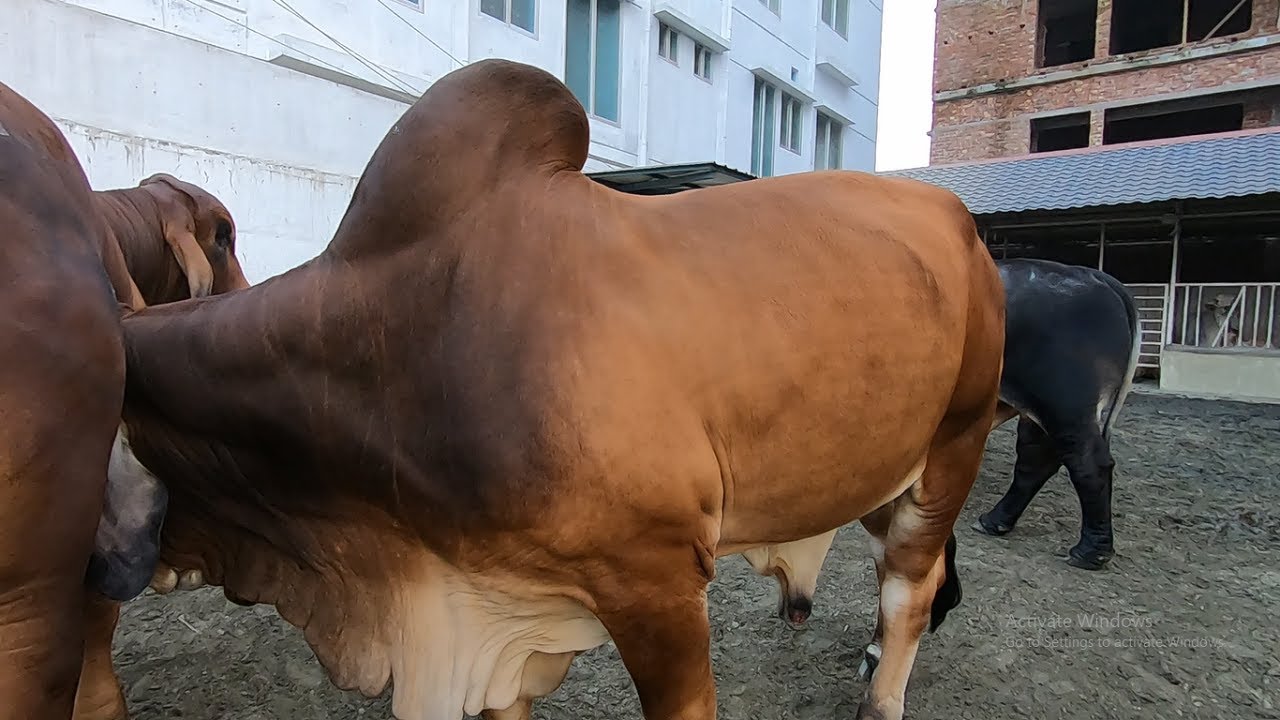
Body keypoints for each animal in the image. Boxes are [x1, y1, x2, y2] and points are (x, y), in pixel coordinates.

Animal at [101, 59, 1005, 720]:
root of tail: (958, 217)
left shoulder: (654, 581)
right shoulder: (494, 599)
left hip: (953, 446)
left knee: (910, 586)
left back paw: (882, 698)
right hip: (875, 463)